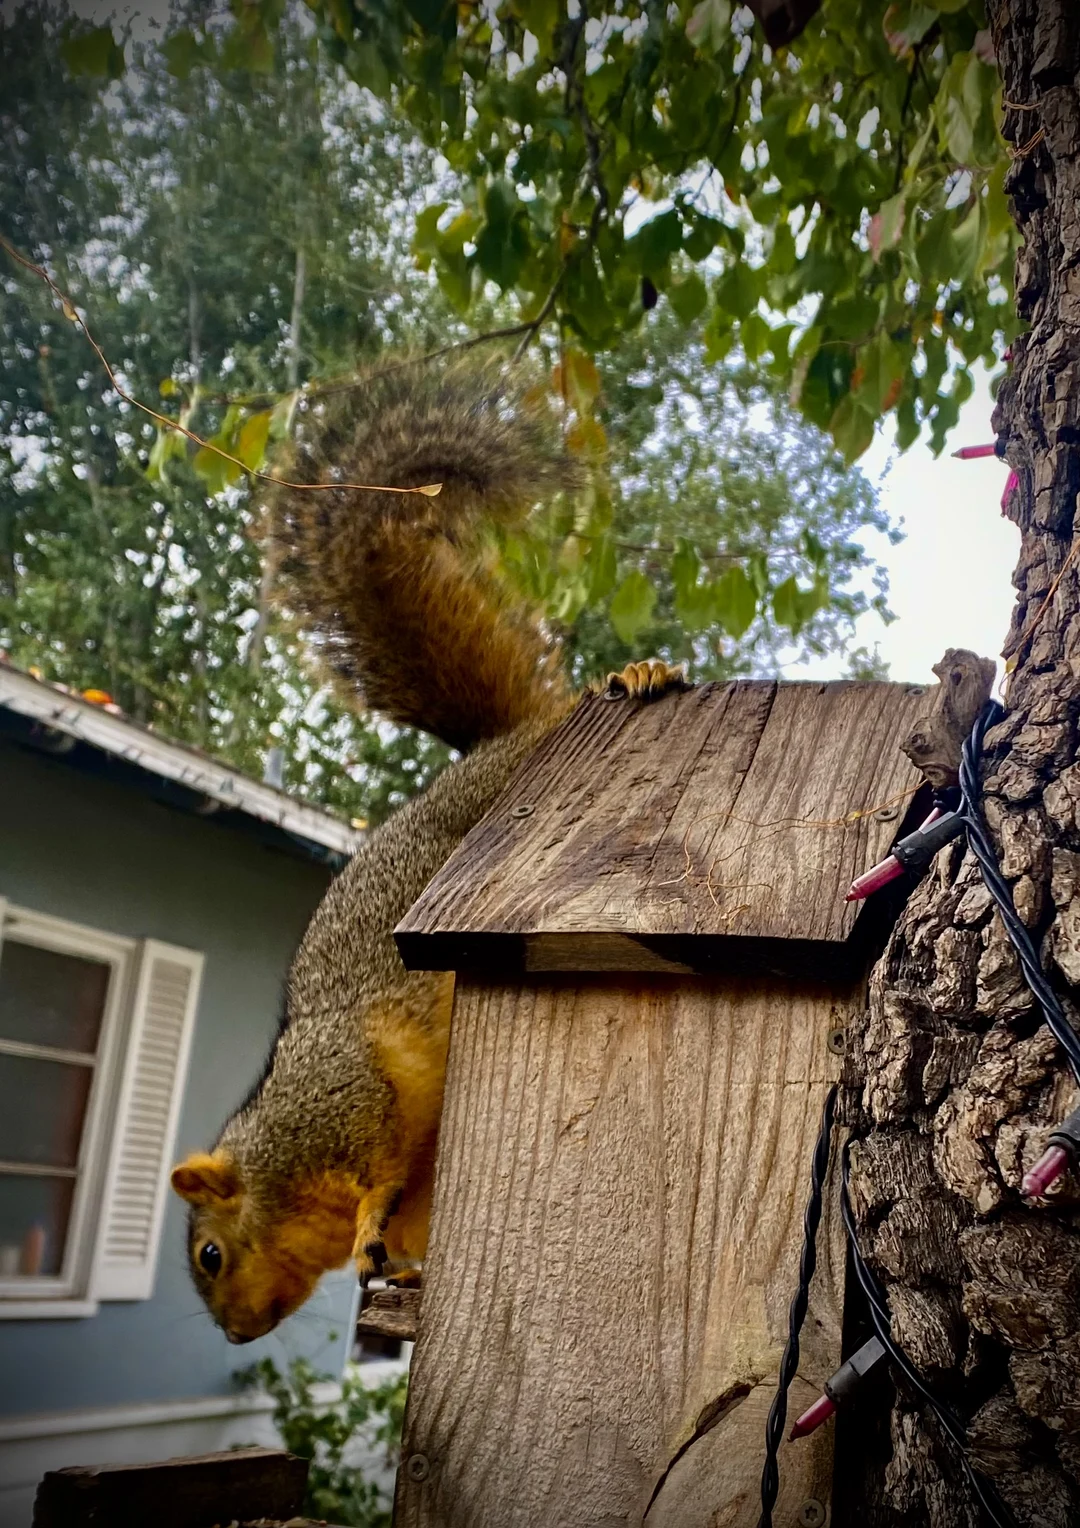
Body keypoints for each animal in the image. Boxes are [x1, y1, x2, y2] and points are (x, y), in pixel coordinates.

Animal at [170, 360, 686, 1344]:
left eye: (209, 1255)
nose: (236, 1334)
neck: (279, 1168)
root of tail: (500, 743)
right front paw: (396, 1264)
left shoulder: (341, 1098)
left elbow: (376, 1156)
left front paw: (372, 1224)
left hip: (538, 754)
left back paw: (640, 676)